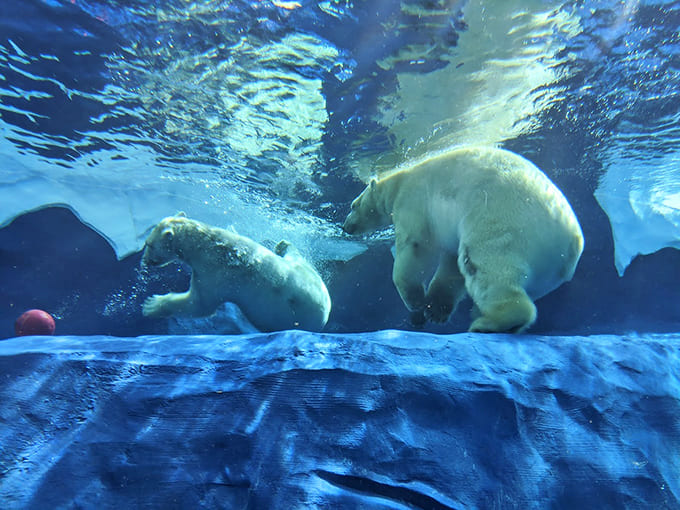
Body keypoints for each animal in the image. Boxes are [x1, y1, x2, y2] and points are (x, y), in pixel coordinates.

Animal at [141, 213, 331, 332]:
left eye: (148, 244)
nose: (145, 260)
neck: (208, 245)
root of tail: (327, 310)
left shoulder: (216, 275)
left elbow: (198, 305)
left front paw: (151, 305)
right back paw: (283, 245)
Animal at [343, 145, 584, 333]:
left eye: (353, 205)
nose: (346, 227)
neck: (400, 179)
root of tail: (572, 240)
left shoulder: (412, 200)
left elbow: (416, 246)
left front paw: (417, 302)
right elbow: (450, 265)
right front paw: (434, 310)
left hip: (505, 223)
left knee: (483, 265)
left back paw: (489, 322)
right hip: (544, 270)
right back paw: (479, 312)